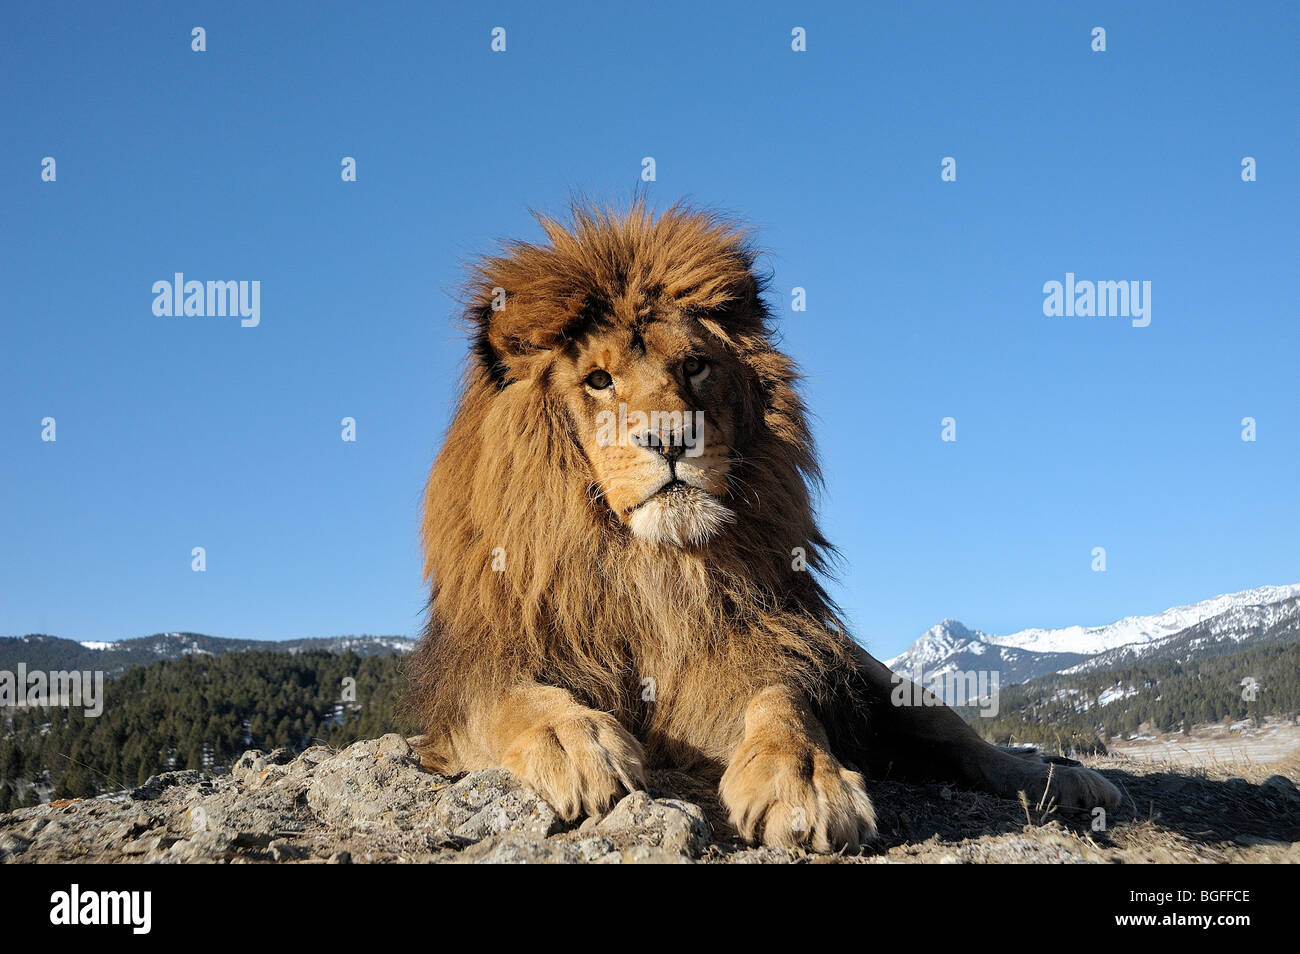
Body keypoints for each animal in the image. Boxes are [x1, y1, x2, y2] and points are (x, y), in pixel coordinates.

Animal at [407, 200, 1121, 851]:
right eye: (599, 379)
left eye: (694, 365)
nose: (673, 437)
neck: (654, 571)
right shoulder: (472, 675)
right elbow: (511, 698)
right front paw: (573, 740)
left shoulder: (759, 647)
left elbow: (783, 699)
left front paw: (802, 777)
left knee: (962, 739)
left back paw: (1069, 779)